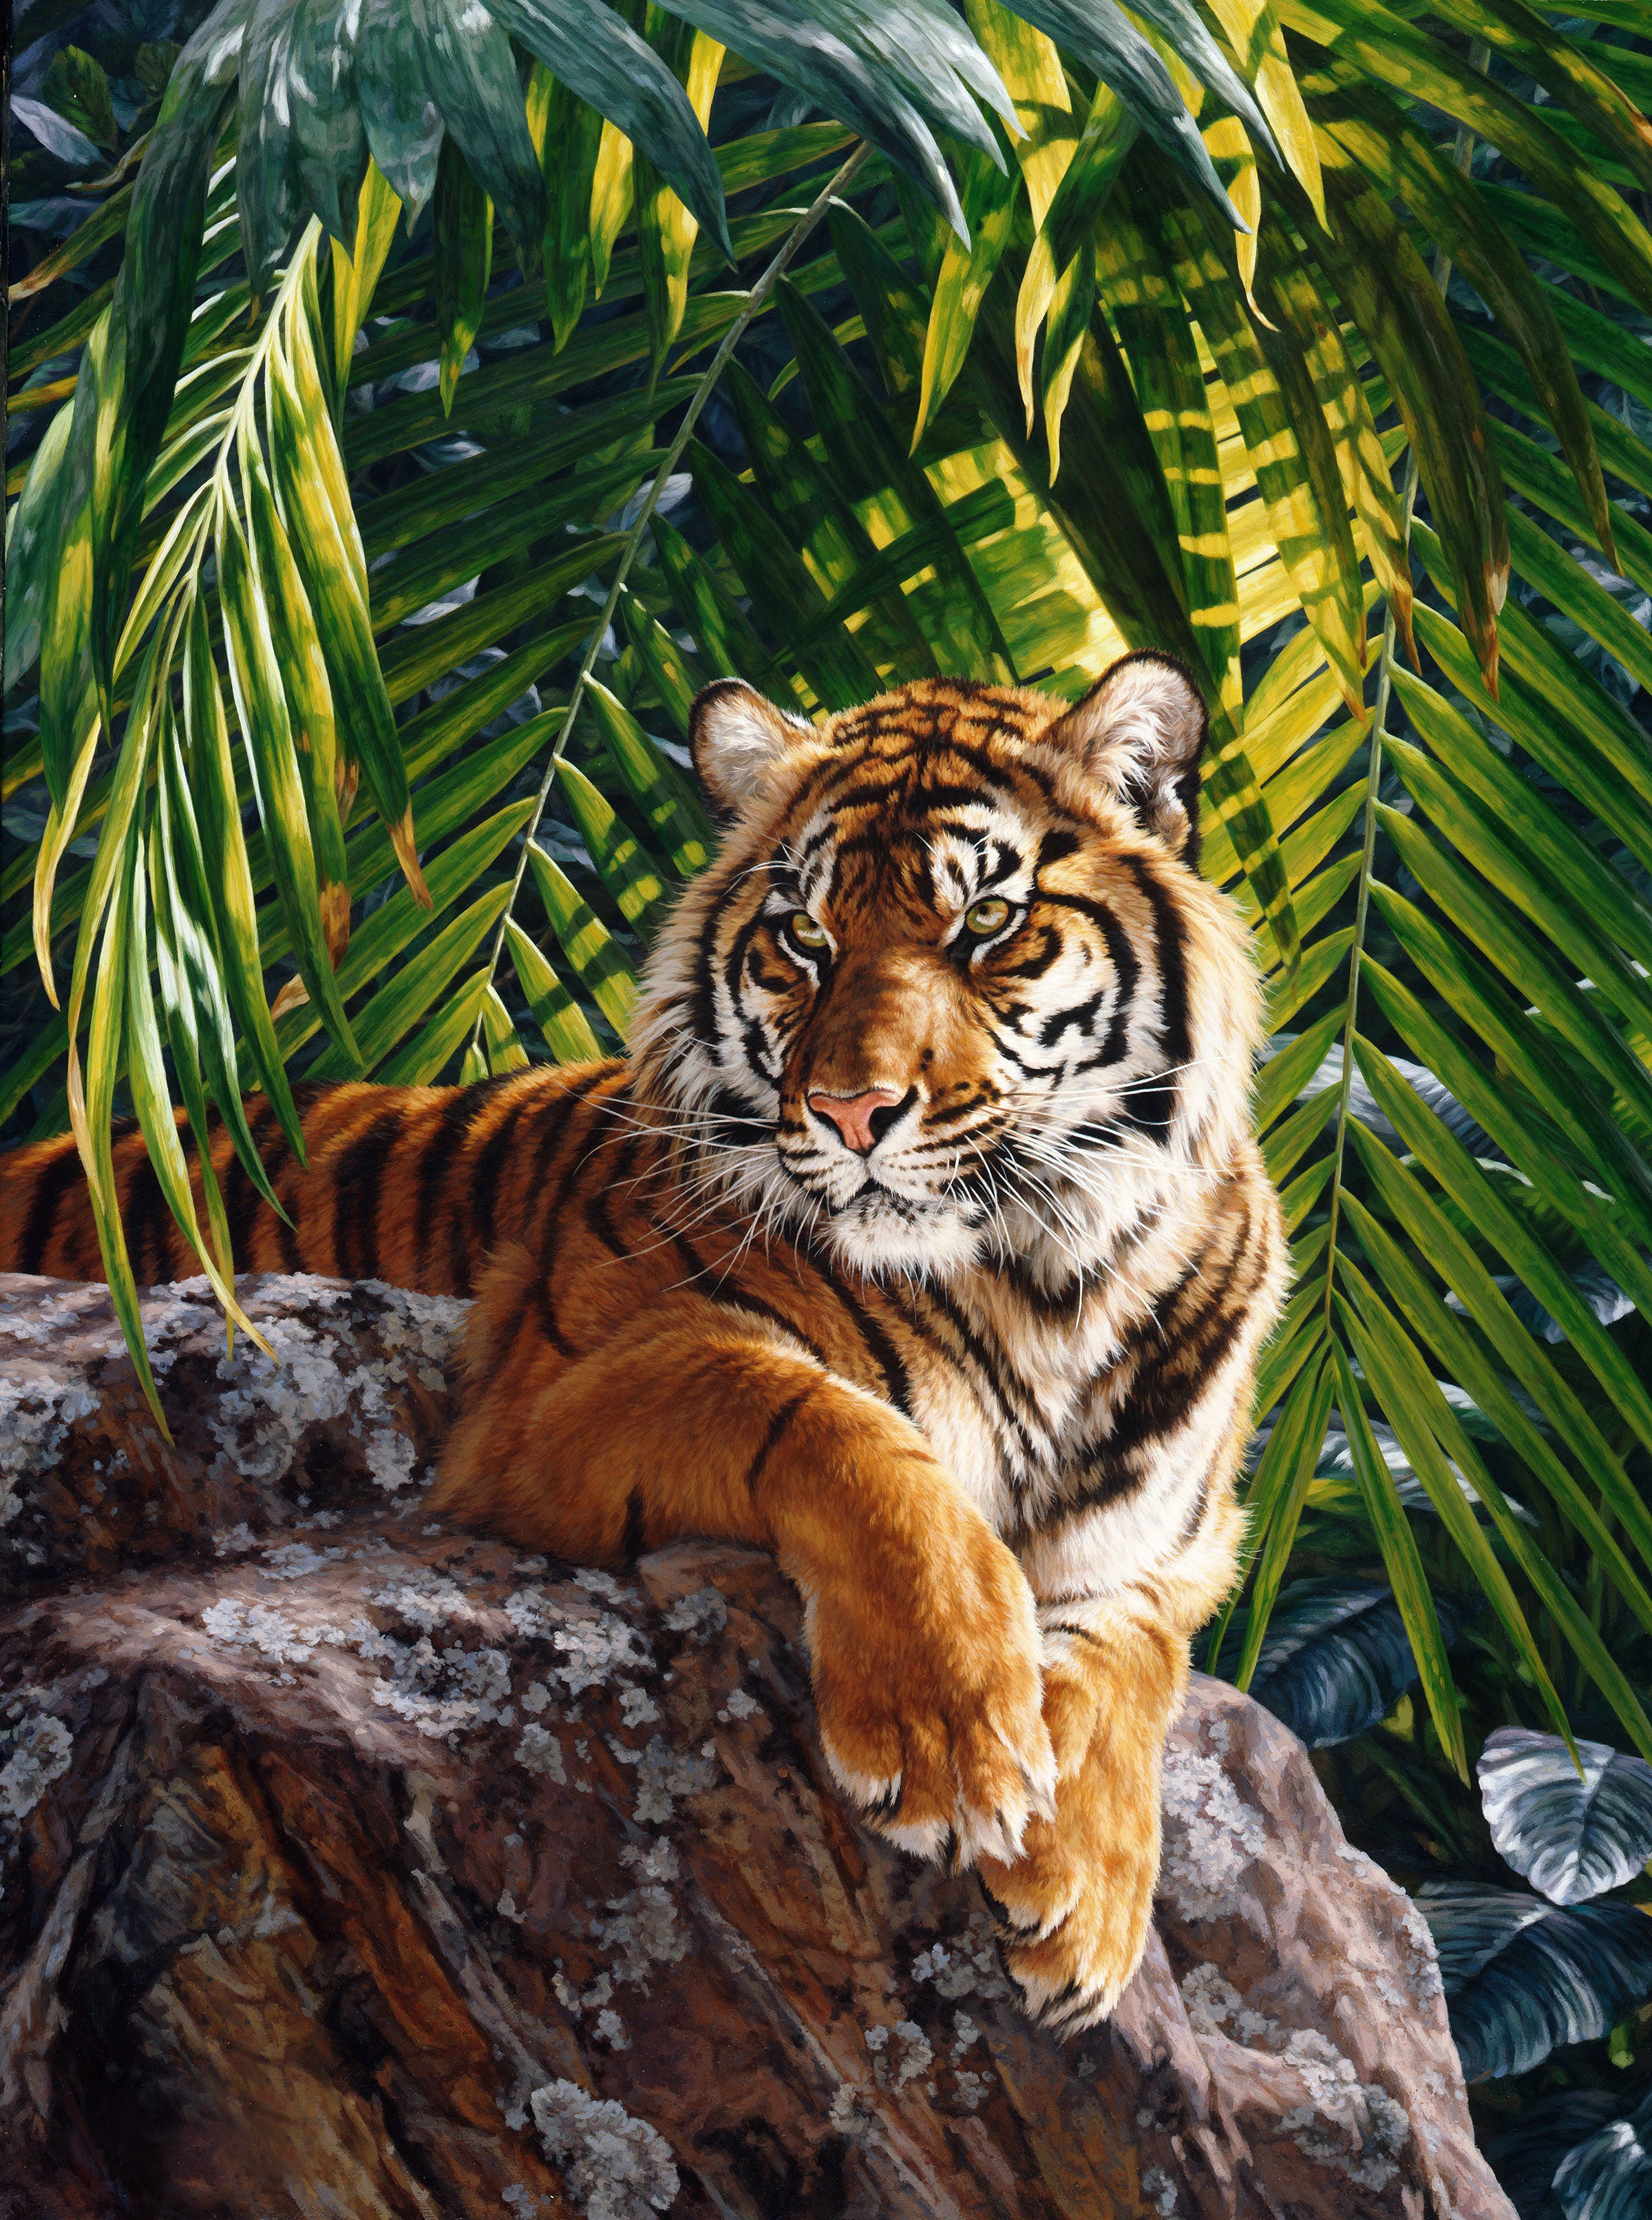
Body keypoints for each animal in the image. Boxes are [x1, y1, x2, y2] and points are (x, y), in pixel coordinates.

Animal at [1, 655, 1287, 2032]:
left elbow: (1132, 1651)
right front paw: (952, 1738)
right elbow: (844, 1432)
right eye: (805, 938)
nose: (851, 1112)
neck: (1044, 1275)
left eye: (986, 924)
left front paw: (1084, 1899)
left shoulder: (1180, 1541)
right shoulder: (551, 1393)